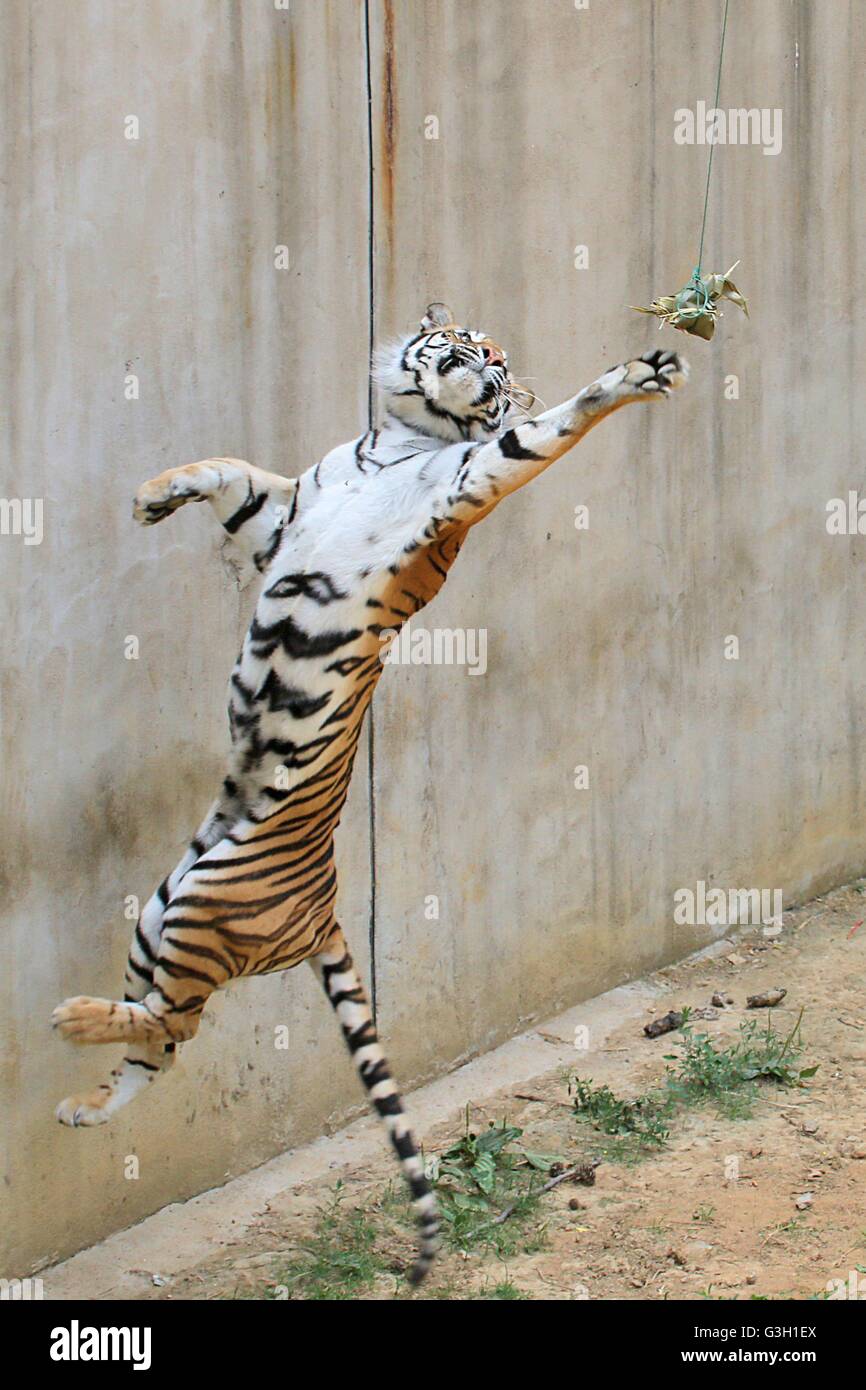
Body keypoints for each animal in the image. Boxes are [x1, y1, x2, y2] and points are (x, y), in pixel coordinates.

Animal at [52, 302, 687, 1284]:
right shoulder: (282, 512)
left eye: (501, 360)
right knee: (162, 1038)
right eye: (474, 338)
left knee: (175, 1025)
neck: (400, 434)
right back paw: (83, 1103)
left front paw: (639, 372)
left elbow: (551, 426)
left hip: (202, 905)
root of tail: (324, 914)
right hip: (161, 908)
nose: (488, 360)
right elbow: (223, 469)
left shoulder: (467, 480)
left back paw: (72, 1020)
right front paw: (152, 496)